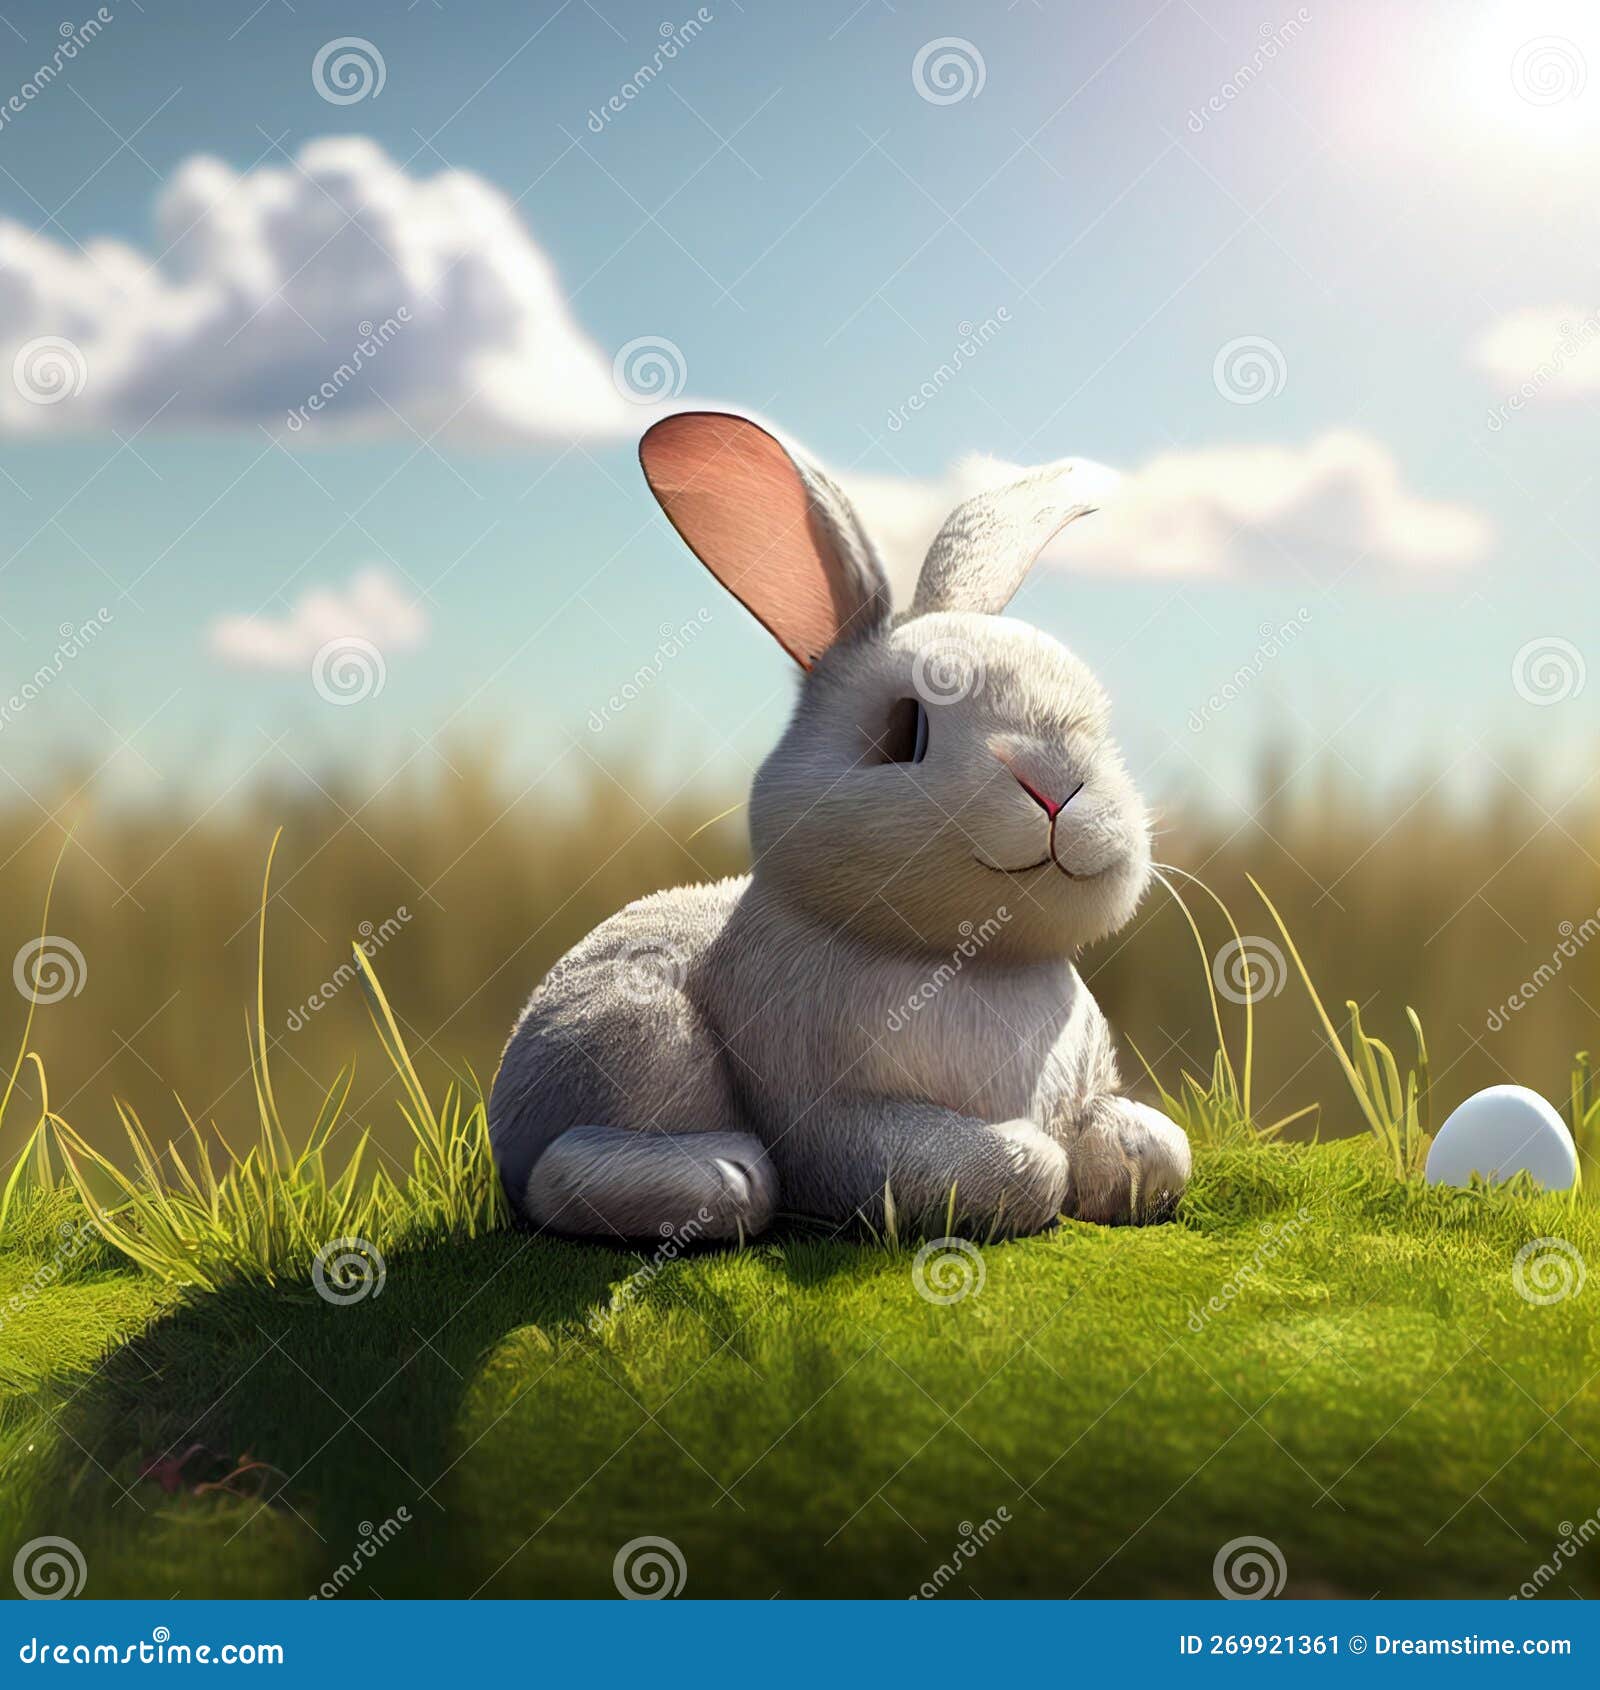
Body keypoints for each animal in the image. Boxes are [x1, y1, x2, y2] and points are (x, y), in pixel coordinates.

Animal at [488, 411, 1190, 1243]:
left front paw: (1123, 1175)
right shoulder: (834, 1123)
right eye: (904, 730)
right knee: (561, 1181)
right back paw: (721, 1169)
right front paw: (1043, 1162)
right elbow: (1021, 1167)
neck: (973, 959)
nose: (1059, 790)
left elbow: (1161, 1147)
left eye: (1099, 722)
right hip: (646, 1039)